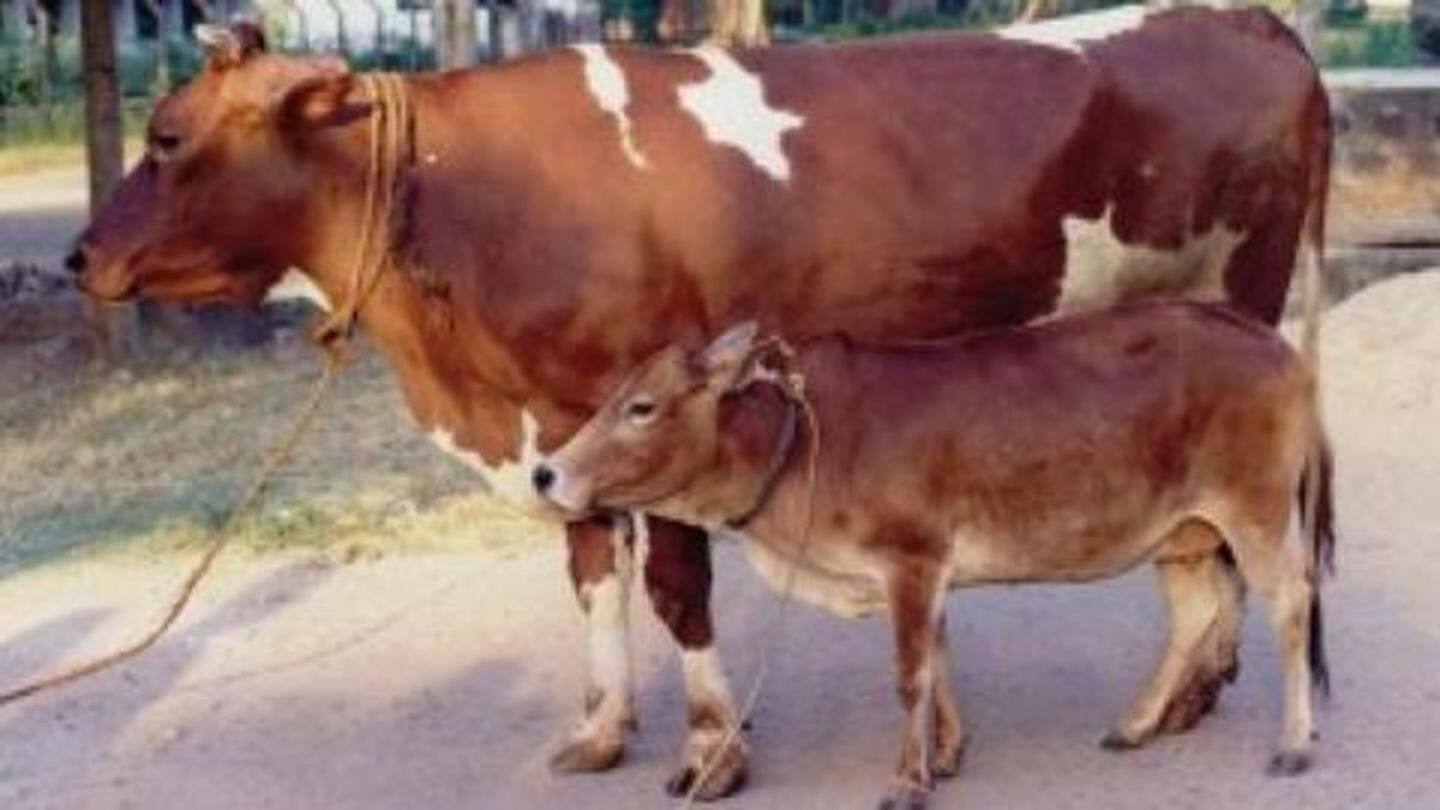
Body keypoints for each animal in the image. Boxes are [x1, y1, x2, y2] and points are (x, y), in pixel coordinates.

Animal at [535, 304, 1337, 808]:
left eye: (642, 406)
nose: (547, 473)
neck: (800, 441)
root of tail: (1277, 345)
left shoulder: (911, 560)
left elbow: (910, 675)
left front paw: (906, 782)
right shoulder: (929, 572)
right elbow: (940, 661)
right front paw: (946, 757)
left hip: (1256, 513)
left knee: (1292, 604)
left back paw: (1296, 744)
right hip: (1182, 535)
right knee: (1197, 613)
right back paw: (1134, 725)